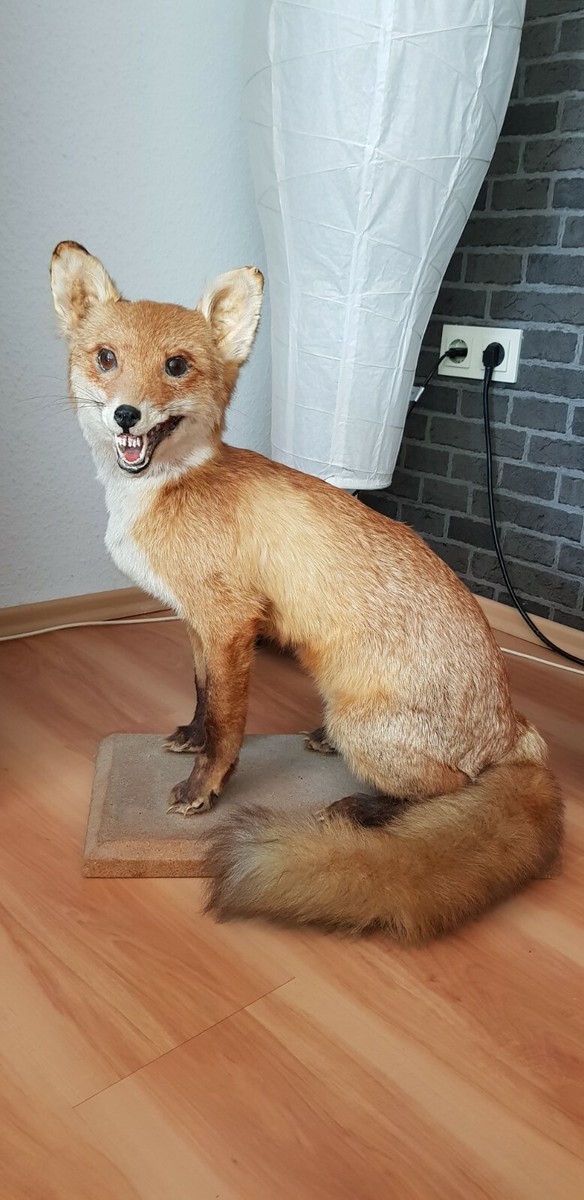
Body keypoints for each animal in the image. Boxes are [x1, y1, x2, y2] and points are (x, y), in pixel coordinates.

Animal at [50, 240, 563, 941]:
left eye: (175, 366)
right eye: (106, 359)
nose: (126, 413)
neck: (164, 492)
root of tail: (517, 728)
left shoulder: (231, 621)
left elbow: (230, 723)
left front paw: (205, 788)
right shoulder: (198, 621)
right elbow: (204, 696)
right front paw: (189, 738)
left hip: (365, 726)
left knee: (453, 791)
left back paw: (365, 808)